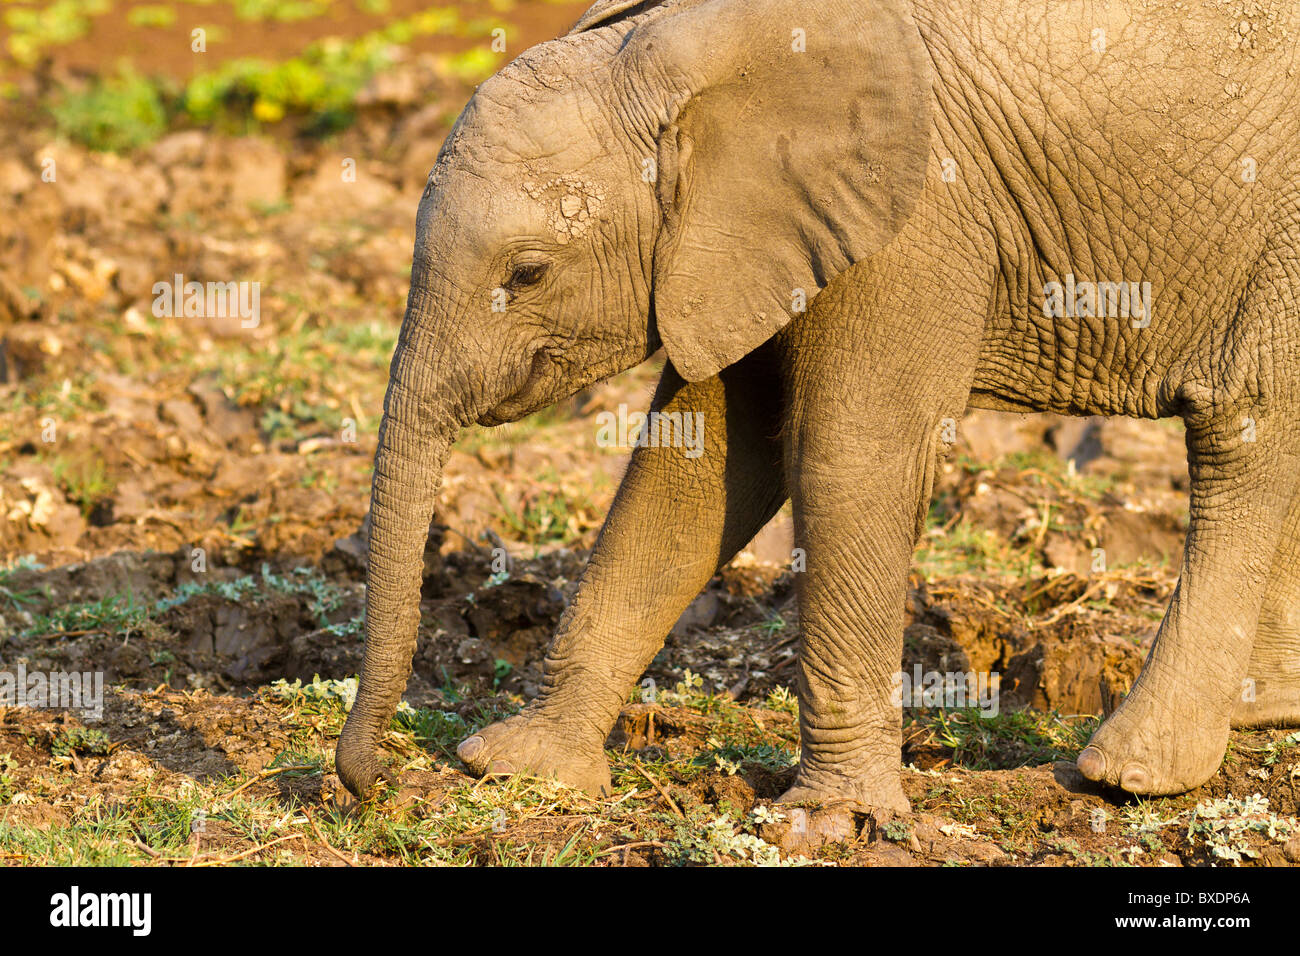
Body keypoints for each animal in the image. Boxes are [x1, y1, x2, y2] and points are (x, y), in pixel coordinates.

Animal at [335, 0, 1300, 818]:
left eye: (528, 273)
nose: (378, 785)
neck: (685, 50)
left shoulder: (917, 214)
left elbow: (849, 458)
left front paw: (838, 819)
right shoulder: (740, 241)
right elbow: (693, 469)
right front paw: (519, 770)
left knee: (1244, 430)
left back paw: (1127, 776)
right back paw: (1260, 717)